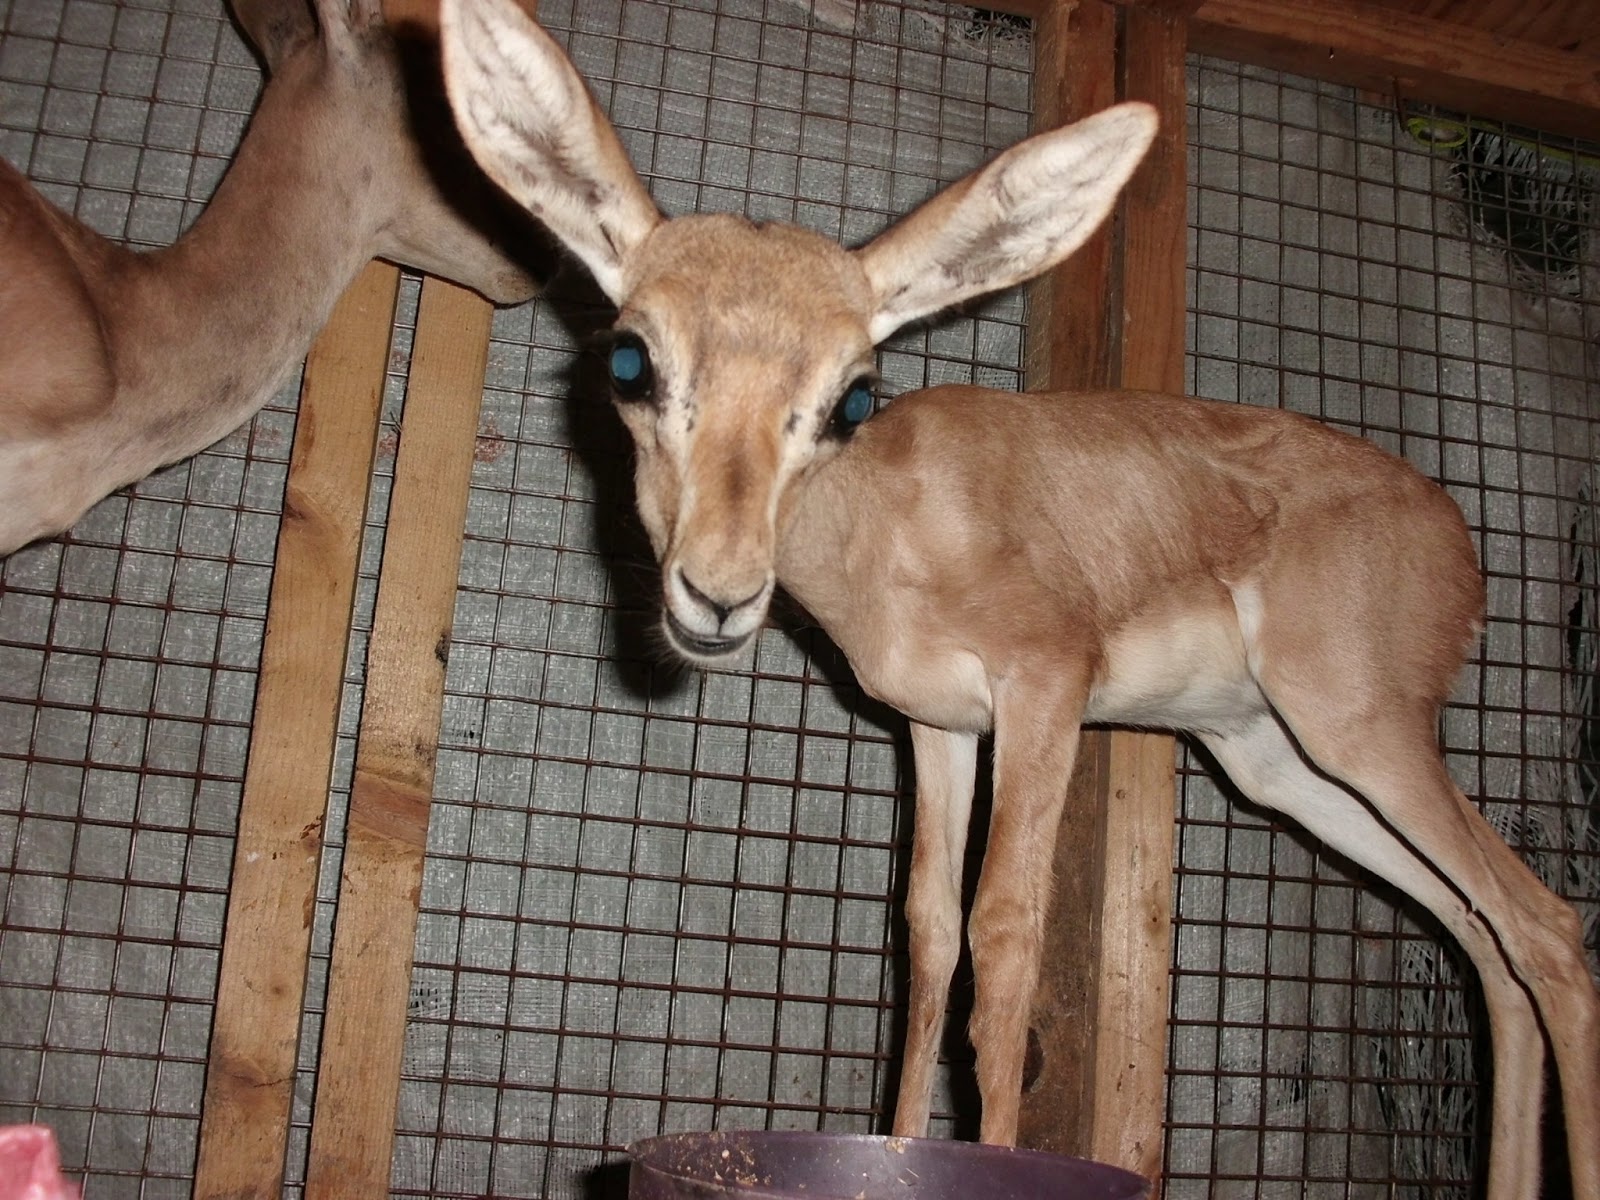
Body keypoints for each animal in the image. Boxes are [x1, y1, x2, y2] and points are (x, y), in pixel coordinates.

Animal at [437, 0, 1600, 1195]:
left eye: (853, 394)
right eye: (631, 360)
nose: (716, 594)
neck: (897, 520)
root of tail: (1459, 544)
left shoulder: (1046, 686)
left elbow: (1004, 931)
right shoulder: (938, 727)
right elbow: (927, 933)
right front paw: (894, 1148)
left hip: (1358, 730)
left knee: (1548, 927)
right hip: (1284, 767)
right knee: (1487, 942)